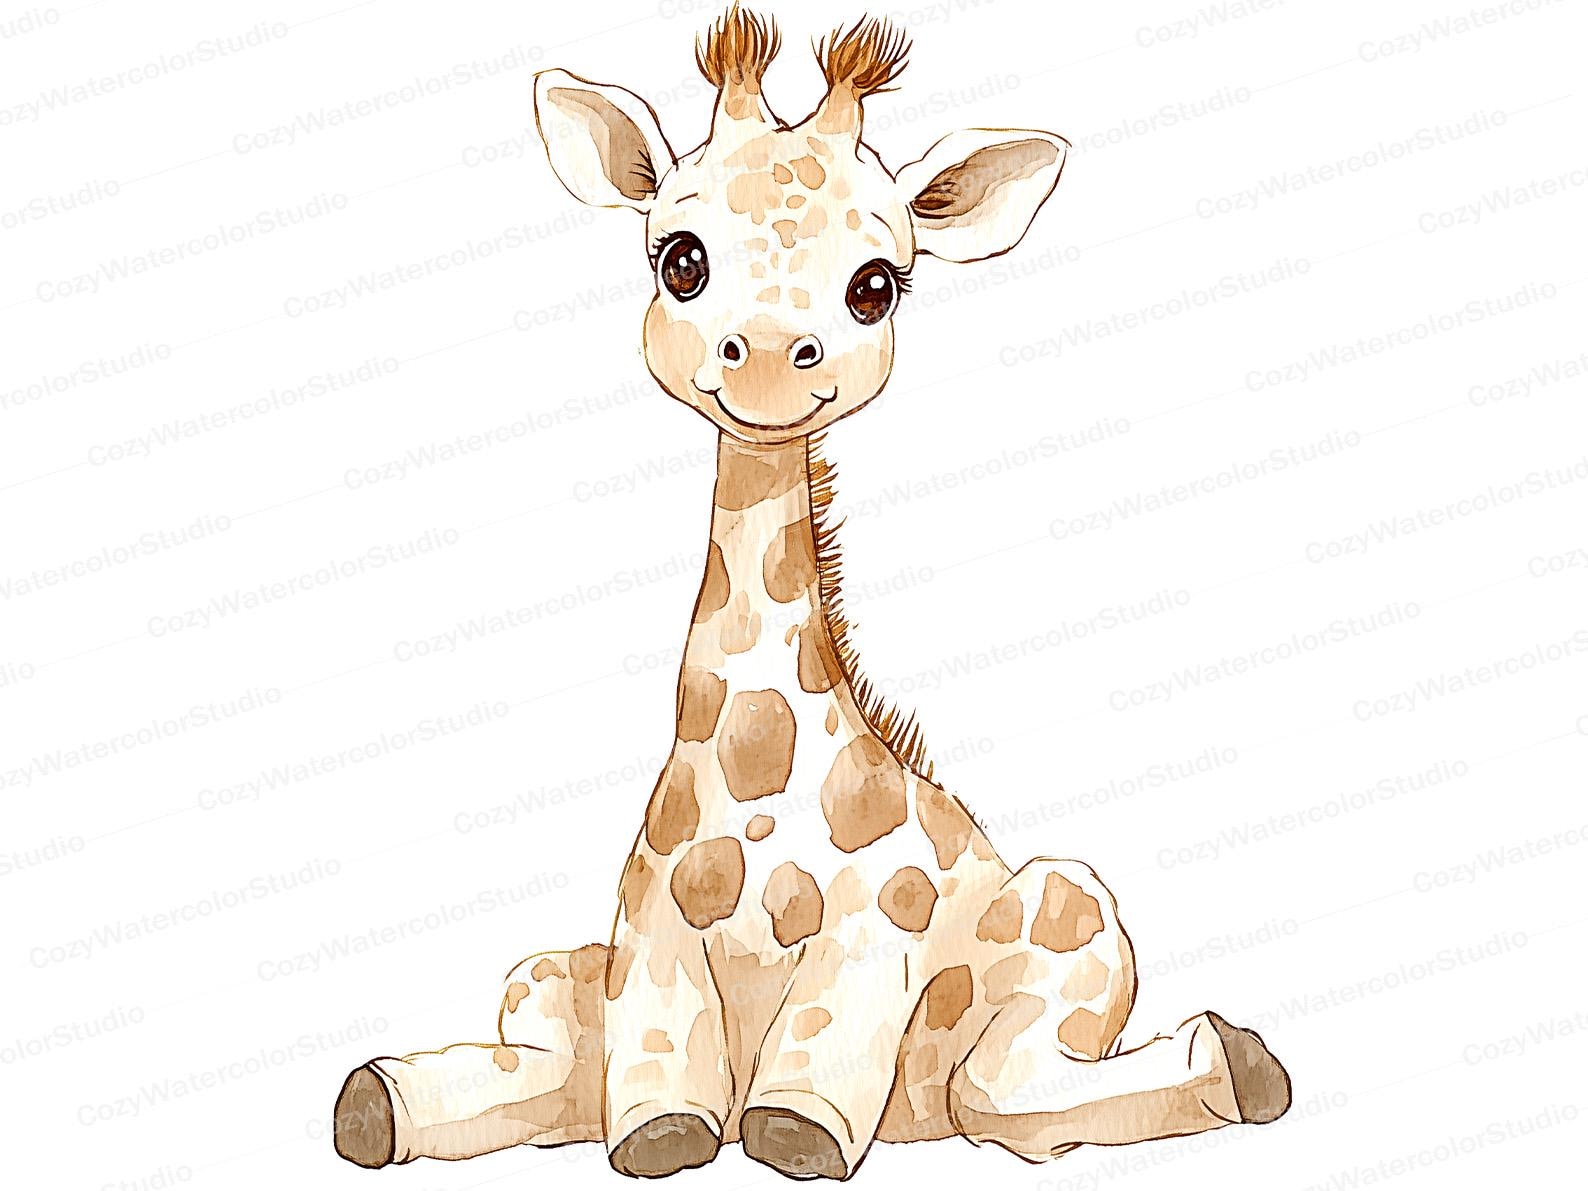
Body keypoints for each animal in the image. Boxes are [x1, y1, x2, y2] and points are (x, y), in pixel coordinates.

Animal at [332, 10, 1291, 1180]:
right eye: (680, 259)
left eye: (876, 284)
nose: (767, 364)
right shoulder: (646, 947)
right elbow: (647, 1120)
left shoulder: (872, 943)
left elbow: (796, 1119)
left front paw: (789, 1131)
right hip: (557, 978)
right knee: (539, 1036)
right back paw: (376, 1098)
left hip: (1072, 918)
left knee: (998, 1087)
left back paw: (1239, 1059)